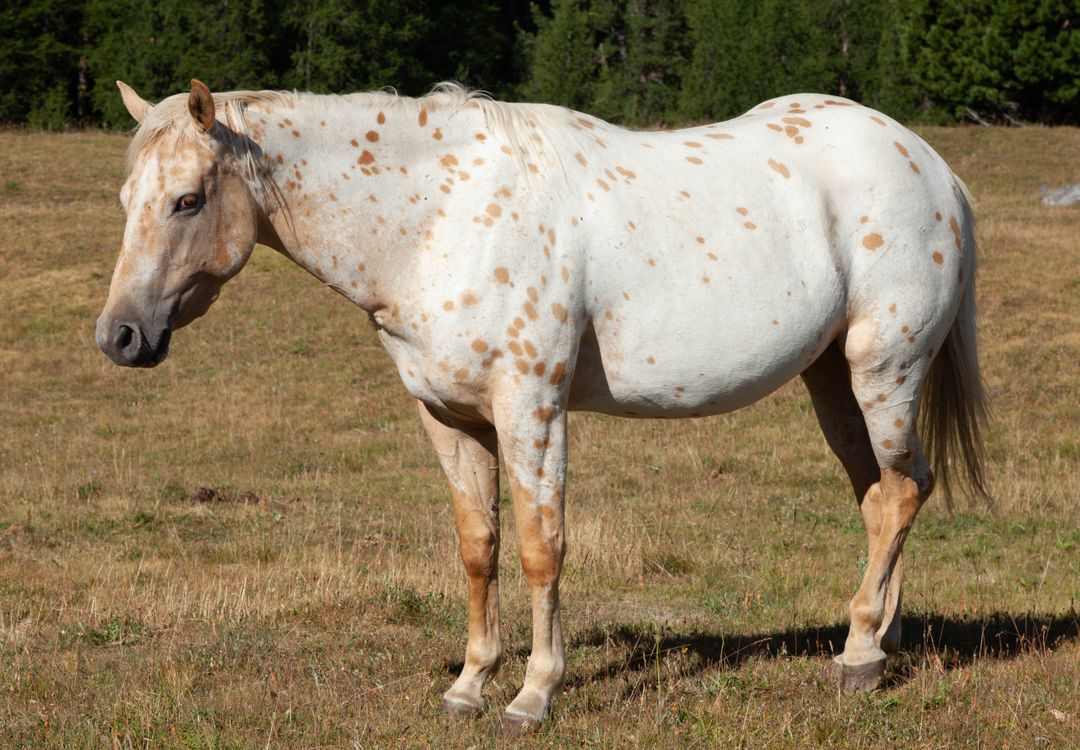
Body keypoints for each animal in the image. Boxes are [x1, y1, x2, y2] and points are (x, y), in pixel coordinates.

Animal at [97, 79, 988, 732]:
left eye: (186, 200)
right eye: (126, 197)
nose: (120, 336)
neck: (439, 222)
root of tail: (932, 167)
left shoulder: (531, 409)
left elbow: (540, 549)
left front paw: (533, 695)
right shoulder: (448, 417)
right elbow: (478, 547)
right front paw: (469, 684)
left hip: (883, 370)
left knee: (900, 490)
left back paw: (860, 657)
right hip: (831, 381)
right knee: (881, 496)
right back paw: (877, 638)